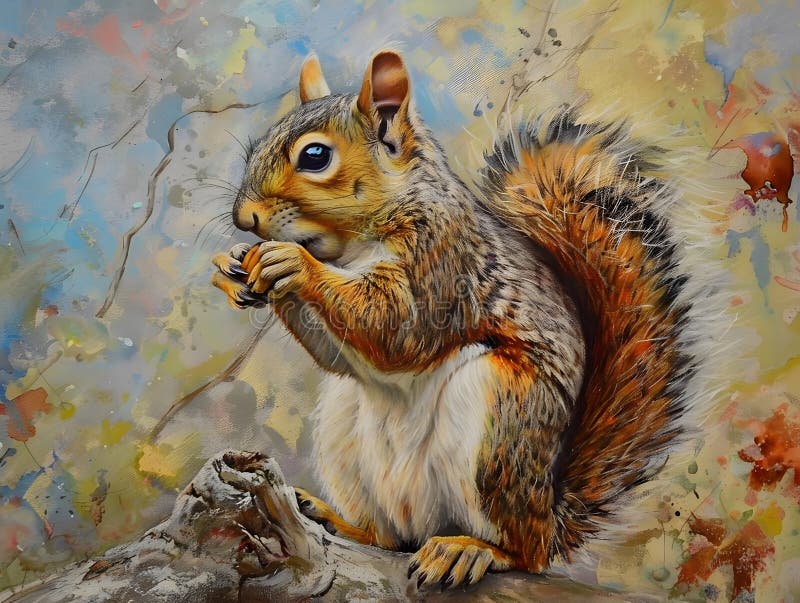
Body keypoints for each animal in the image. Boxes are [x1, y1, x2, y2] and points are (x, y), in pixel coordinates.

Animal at [211, 50, 698, 589]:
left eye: (315, 156)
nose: (244, 218)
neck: (356, 244)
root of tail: (551, 515)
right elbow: (342, 355)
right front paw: (235, 266)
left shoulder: (443, 267)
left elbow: (397, 327)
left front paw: (293, 263)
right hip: (346, 428)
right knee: (389, 538)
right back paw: (337, 519)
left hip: (502, 418)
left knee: (524, 550)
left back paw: (471, 550)